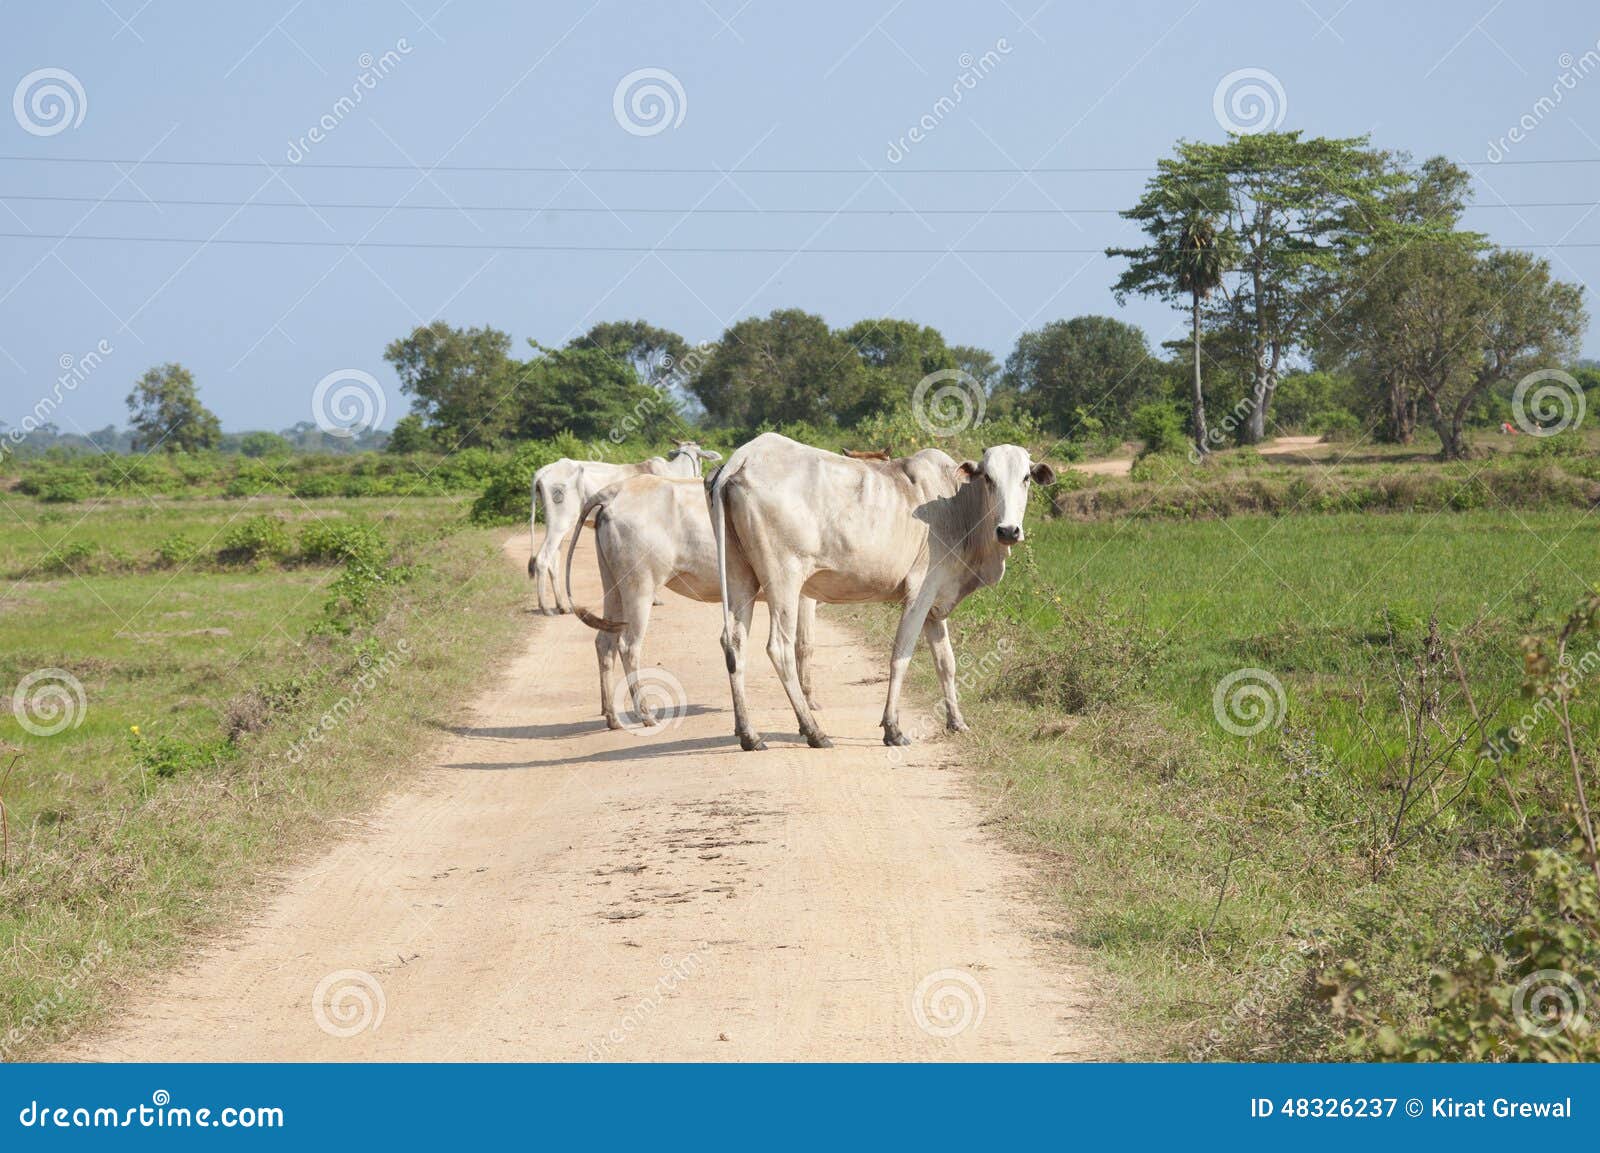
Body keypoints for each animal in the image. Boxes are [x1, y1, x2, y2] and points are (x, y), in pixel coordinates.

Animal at [528, 441, 721, 615]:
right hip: (561, 522)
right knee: (543, 558)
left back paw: (562, 605)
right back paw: (545, 607)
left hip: (558, 525)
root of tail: (544, 471)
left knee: (554, 561)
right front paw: (655, 599)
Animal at [563, 474, 817, 730]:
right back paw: (645, 714)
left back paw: (613, 717)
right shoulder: (803, 592)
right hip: (640, 587)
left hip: (613, 585)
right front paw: (810, 700)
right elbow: (804, 644)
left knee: (605, 642)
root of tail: (616, 490)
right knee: (628, 646)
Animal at [707, 432, 1053, 751]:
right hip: (784, 580)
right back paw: (813, 730)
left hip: (740, 576)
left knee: (733, 643)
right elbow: (901, 658)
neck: (955, 506)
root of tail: (743, 458)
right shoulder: (919, 595)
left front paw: (957, 722)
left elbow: (947, 663)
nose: (1008, 531)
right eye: (988, 478)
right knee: (780, 647)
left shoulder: (935, 605)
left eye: (1025, 478)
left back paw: (749, 733)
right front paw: (892, 729)